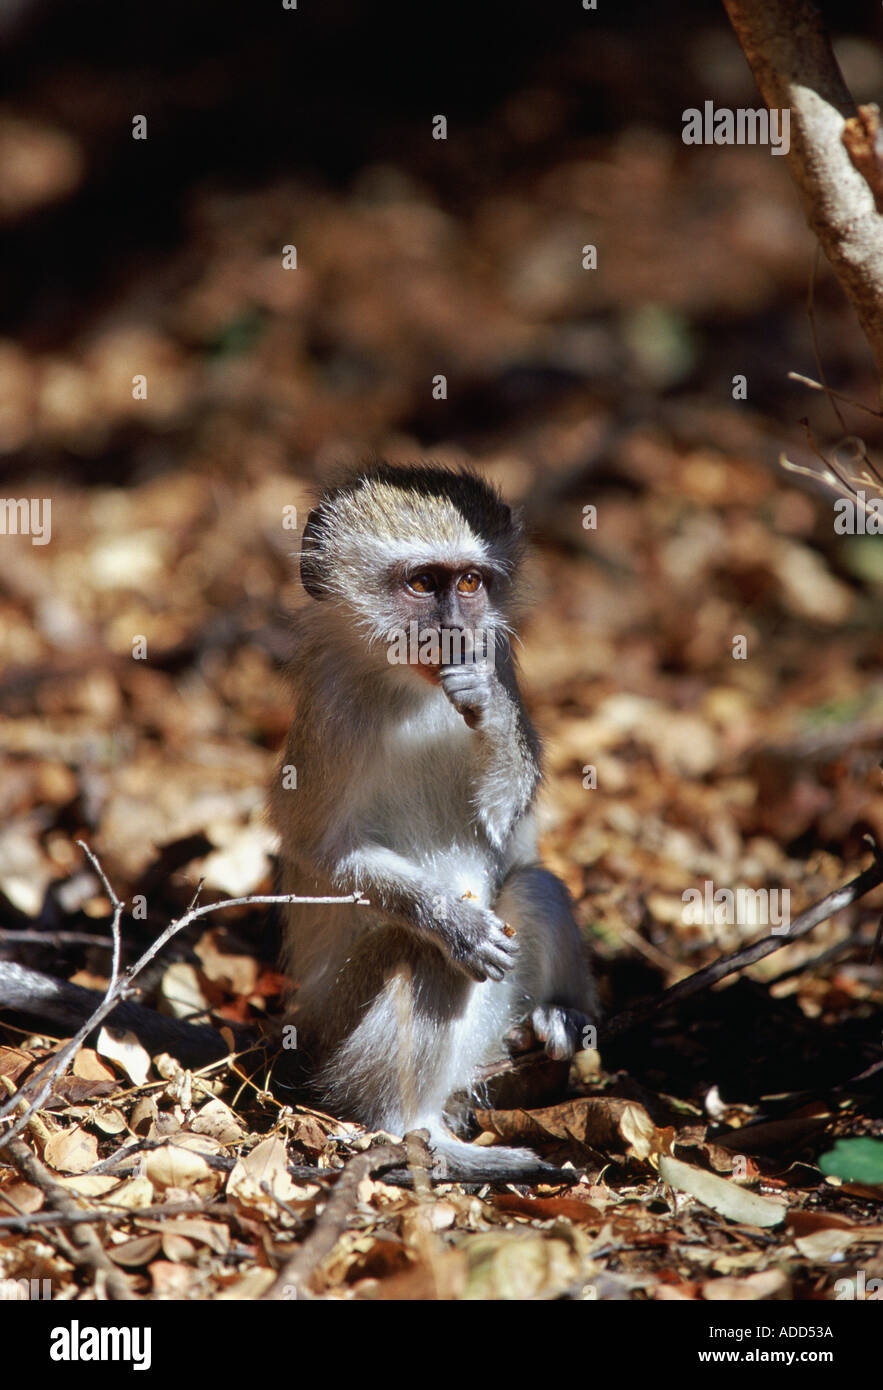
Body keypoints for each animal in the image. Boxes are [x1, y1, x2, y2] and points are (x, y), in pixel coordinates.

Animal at [270, 462, 598, 1177]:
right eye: (423, 583)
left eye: (470, 583)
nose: (454, 633)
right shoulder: (331, 715)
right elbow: (320, 850)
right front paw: (452, 921)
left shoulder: (497, 653)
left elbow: (506, 824)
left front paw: (486, 707)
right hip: (337, 1025)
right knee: (422, 957)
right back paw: (414, 1131)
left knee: (536, 886)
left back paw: (557, 1017)